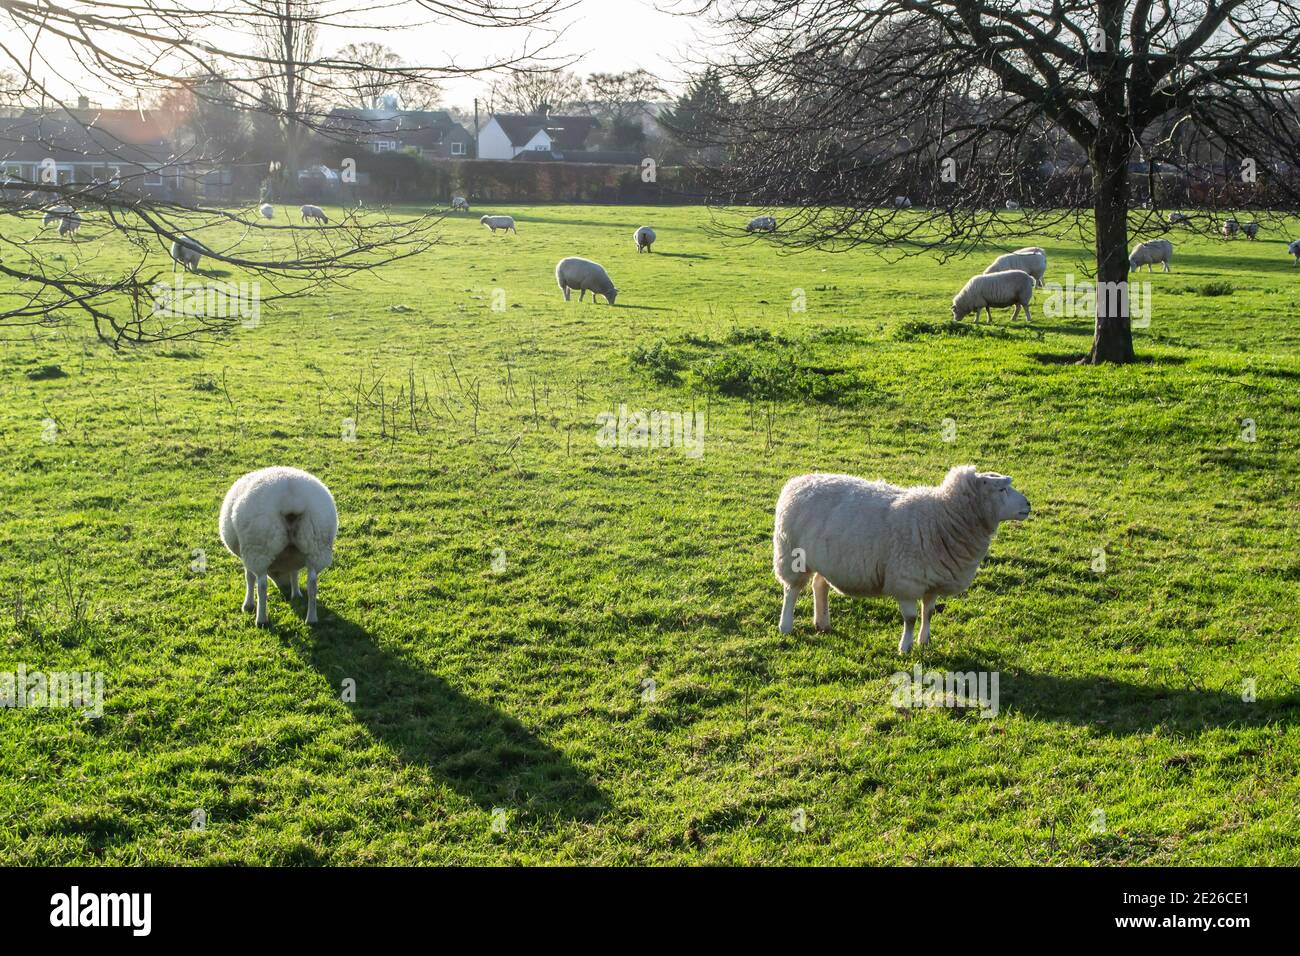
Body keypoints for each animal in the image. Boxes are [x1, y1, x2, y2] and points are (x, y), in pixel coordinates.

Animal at [219, 467, 337, 627]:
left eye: (275, 572)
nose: (285, 589)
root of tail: (291, 500)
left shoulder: (246, 555)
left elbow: (249, 577)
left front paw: (248, 605)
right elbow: (295, 572)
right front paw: (296, 593)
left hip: (259, 547)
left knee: (262, 585)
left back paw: (261, 619)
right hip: (316, 545)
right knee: (312, 583)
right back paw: (311, 619)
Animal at [773, 465, 1030, 653]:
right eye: (1002, 490)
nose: (1028, 504)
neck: (943, 517)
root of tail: (798, 481)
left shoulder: (932, 580)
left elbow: (928, 612)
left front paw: (924, 642)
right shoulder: (907, 581)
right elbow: (911, 618)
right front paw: (905, 647)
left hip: (826, 559)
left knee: (819, 585)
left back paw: (822, 623)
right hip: (792, 555)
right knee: (791, 591)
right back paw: (785, 626)